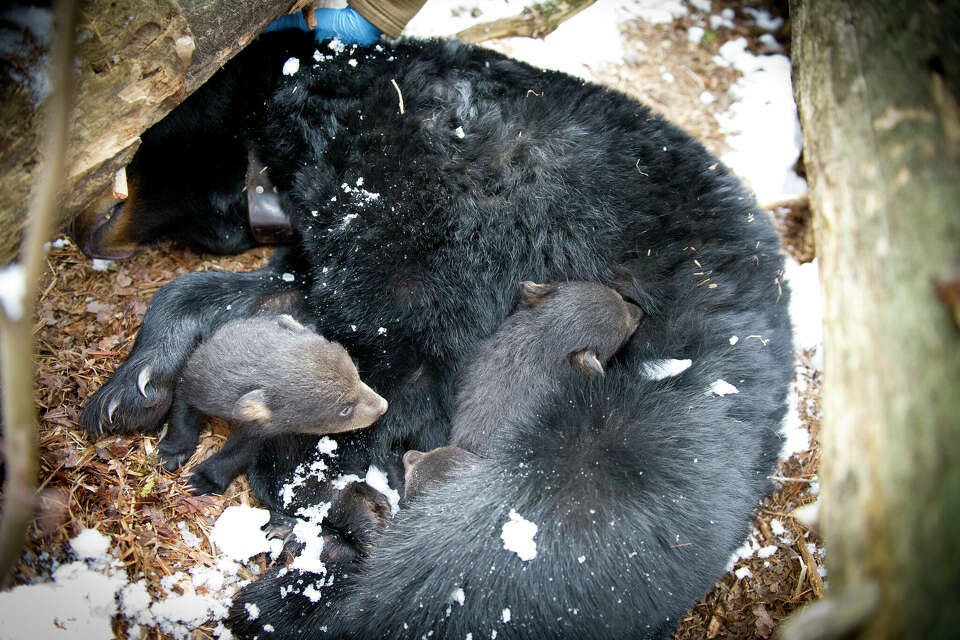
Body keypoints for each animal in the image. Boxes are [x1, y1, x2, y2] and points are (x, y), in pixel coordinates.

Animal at [157, 313, 388, 495]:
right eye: (345, 409)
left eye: (357, 377)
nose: (383, 406)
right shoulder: (199, 375)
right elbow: (183, 404)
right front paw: (171, 453)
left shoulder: (265, 428)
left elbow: (243, 449)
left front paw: (203, 478)